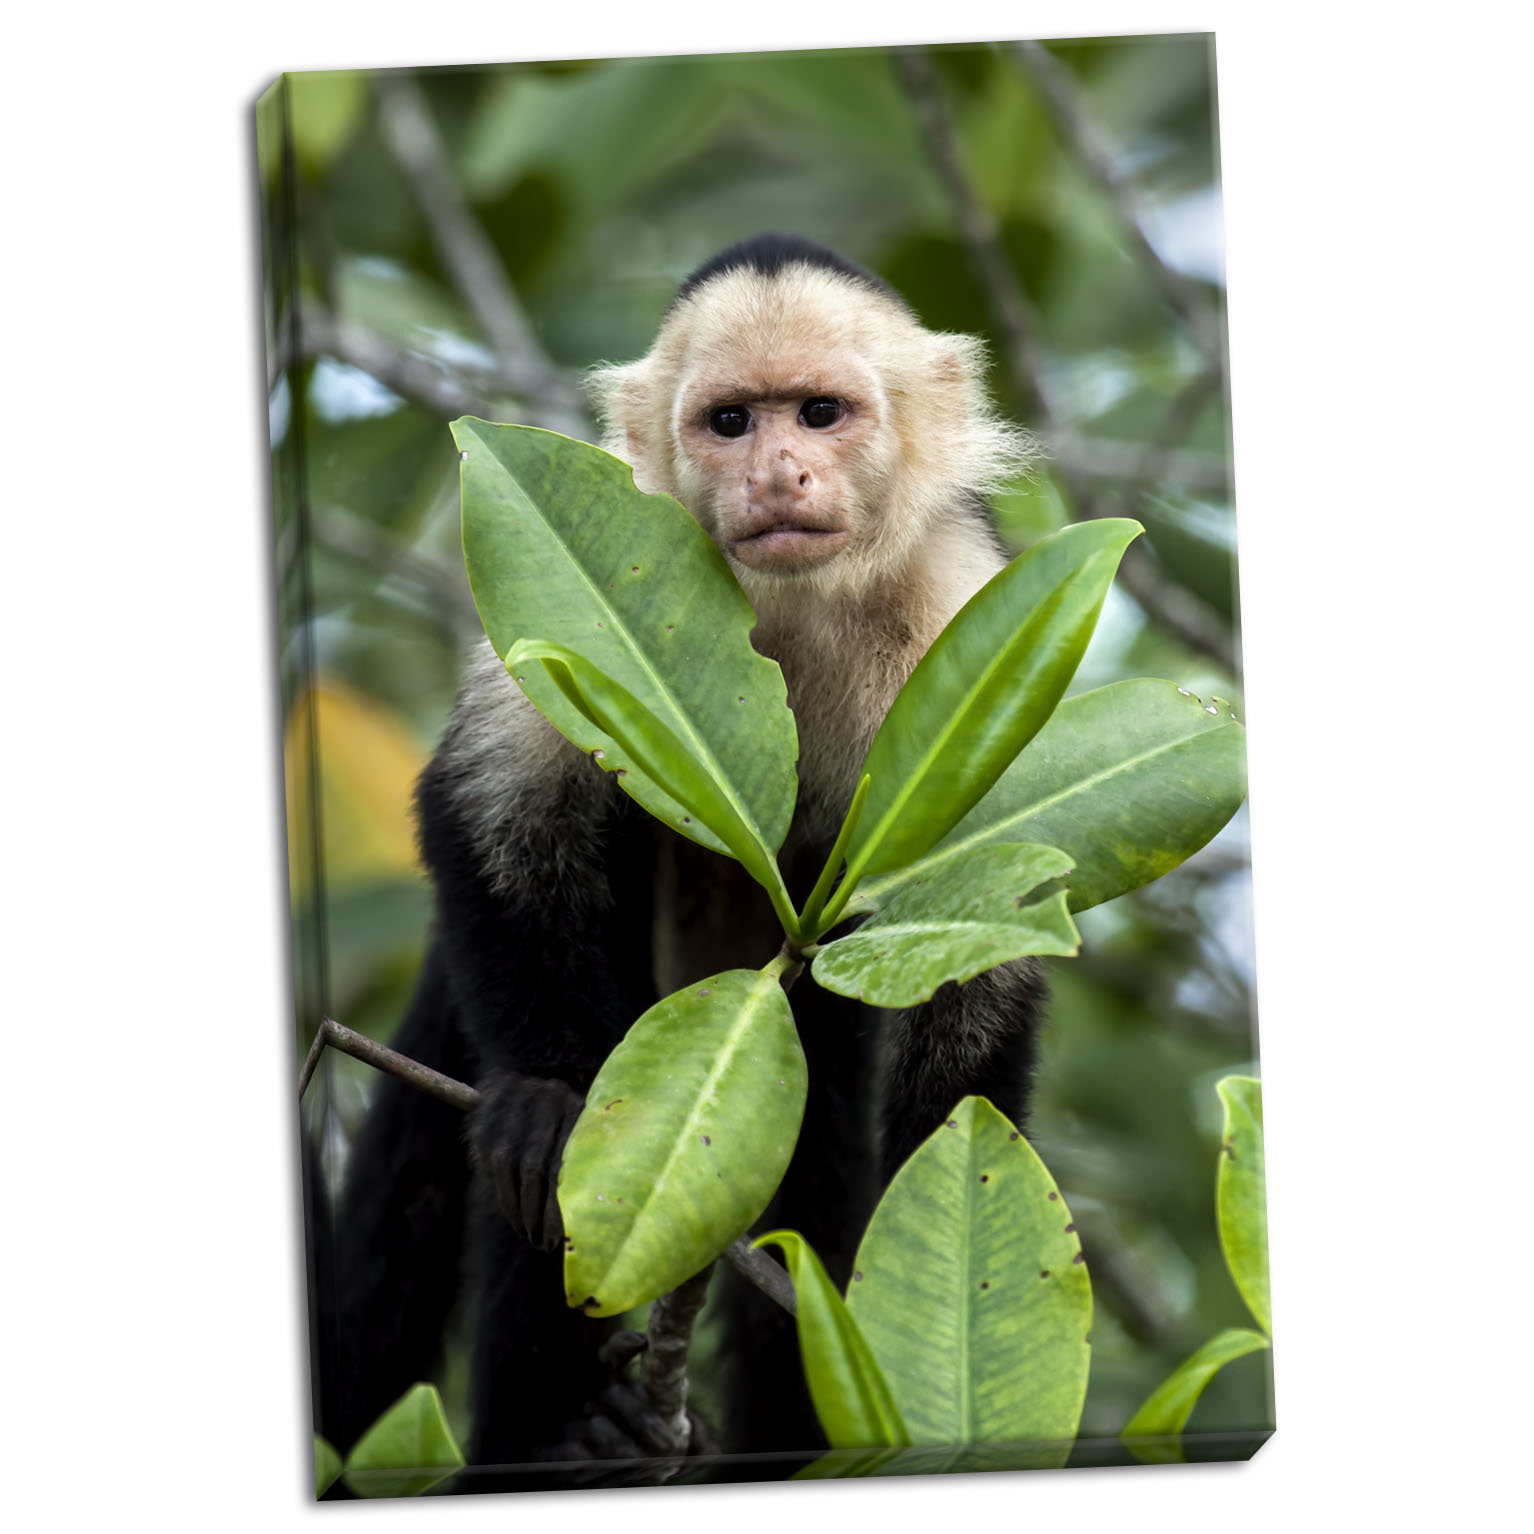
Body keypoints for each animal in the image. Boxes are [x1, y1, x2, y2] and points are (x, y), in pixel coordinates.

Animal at [316, 233, 1046, 1488]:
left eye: (819, 413)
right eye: (730, 422)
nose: (779, 476)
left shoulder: (959, 609)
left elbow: (981, 941)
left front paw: (946, 1197)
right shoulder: (582, 546)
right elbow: (495, 806)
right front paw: (548, 1100)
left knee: (814, 1118)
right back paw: (553, 1431)